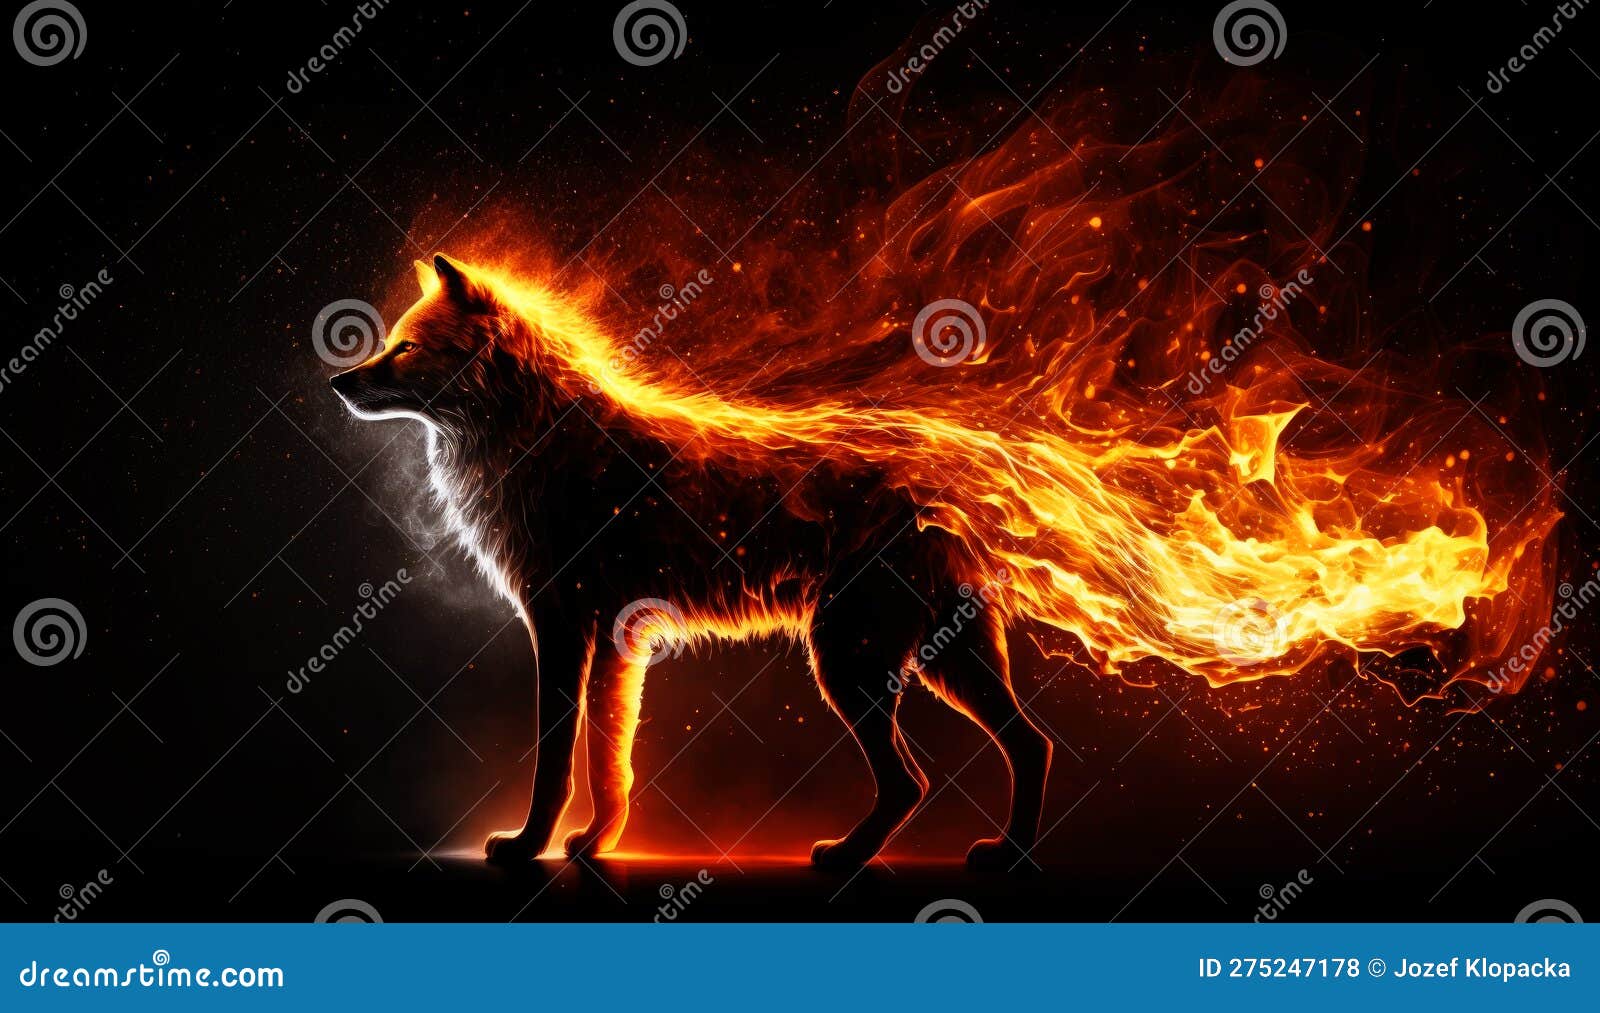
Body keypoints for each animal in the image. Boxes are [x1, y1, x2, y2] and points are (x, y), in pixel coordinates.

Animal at [330, 255, 1053, 869]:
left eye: (405, 347)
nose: (338, 380)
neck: (532, 438)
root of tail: (937, 498)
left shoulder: (562, 629)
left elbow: (557, 760)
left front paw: (529, 845)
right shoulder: (615, 639)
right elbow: (609, 760)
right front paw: (597, 841)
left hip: (850, 663)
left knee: (913, 778)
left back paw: (849, 856)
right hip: (941, 660)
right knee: (1028, 744)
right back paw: (1008, 854)